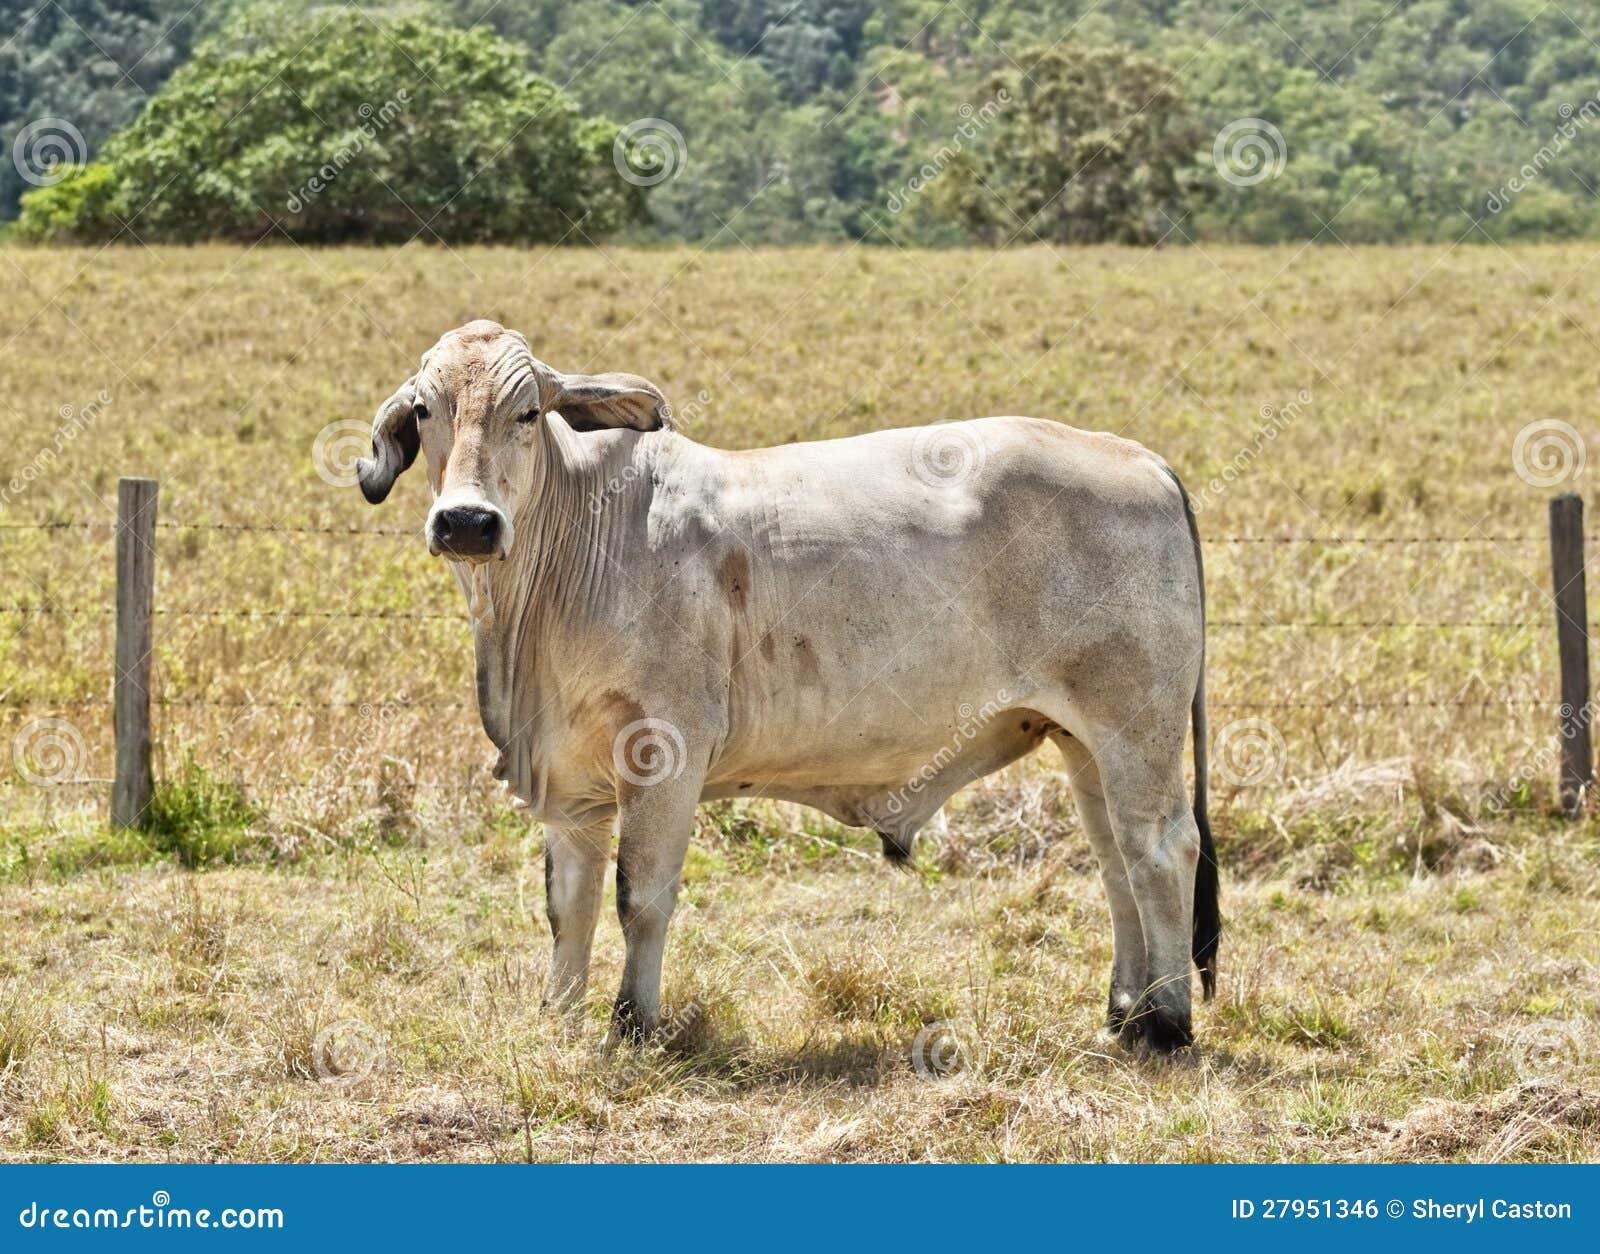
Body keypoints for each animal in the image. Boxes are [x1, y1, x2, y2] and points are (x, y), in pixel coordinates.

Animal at [355, 320, 1219, 1050]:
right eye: (426, 409)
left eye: (529, 411)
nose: (468, 522)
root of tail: (1138, 456)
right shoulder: (570, 781)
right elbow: (568, 905)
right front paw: (558, 1017)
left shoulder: (662, 752)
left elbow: (640, 894)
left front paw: (632, 1024)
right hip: (1083, 740)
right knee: (1116, 860)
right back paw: (1123, 1013)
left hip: (1136, 727)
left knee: (1162, 850)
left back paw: (1167, 1024)